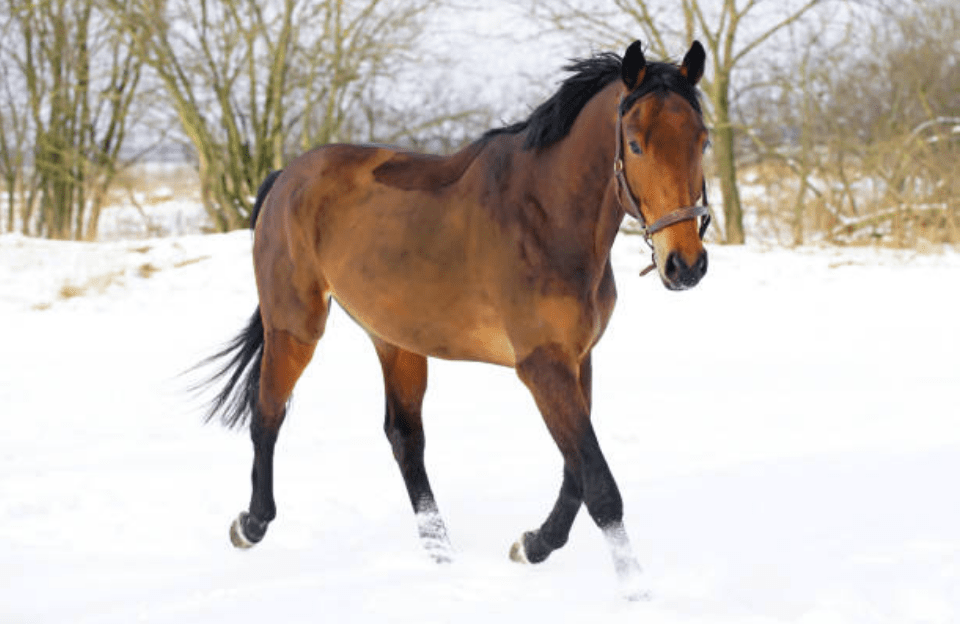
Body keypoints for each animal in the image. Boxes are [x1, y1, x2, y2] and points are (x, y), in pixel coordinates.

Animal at [199, 39, 711, 598]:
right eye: (635, 145)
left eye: (702, 140)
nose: (685, 264)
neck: (545, 217)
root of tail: (284, 178)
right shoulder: (542, 366)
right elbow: (598, 484)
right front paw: (635, 589)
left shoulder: (579, 360)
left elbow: (576, 473)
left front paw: (532, 545)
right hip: (295, 327)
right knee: (268, 412)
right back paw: (250, 525)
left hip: (396, 340)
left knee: (405, 437)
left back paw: (440, 551)